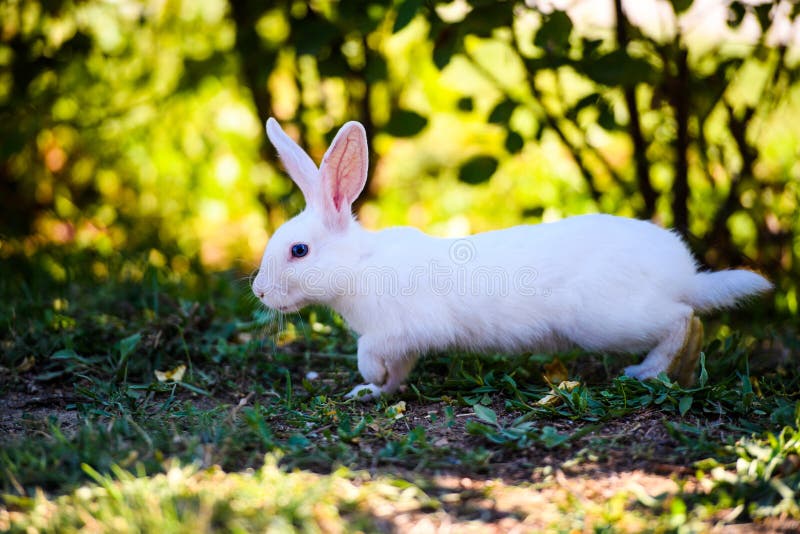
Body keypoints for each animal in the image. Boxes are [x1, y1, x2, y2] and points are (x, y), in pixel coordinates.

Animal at [252, 118, 773, 400]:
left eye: (299, 251)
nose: (259, 291)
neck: (357, 267)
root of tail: (684, 275)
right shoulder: (405, 345)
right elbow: (399, 373)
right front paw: (375, 391)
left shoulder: (399, 330)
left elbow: (369, 353)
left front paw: (369, 378)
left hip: (609, 320)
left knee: (683, 319)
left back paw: (648, 372)